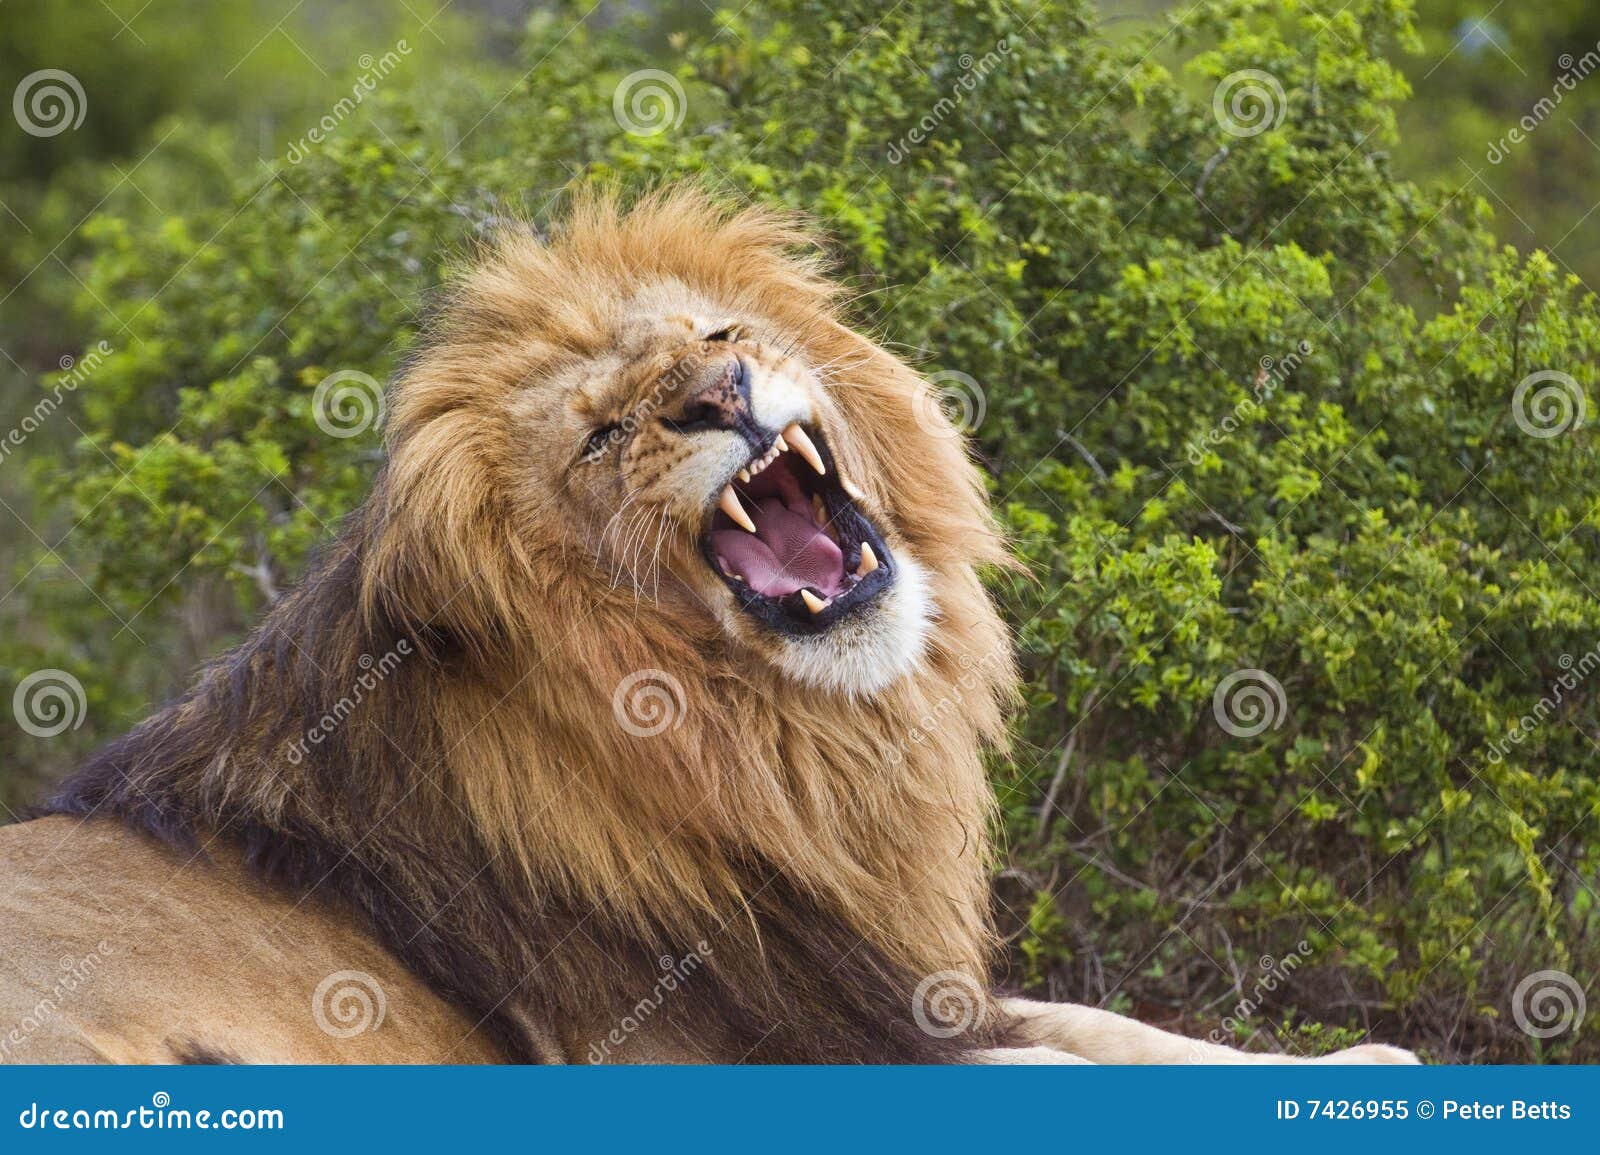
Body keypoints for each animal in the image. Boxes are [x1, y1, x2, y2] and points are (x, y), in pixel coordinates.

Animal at [0, 188, 1414, 1065]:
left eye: (719, 331)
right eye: (603, 434)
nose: (720, 391)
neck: (775, 749)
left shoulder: (891, 991)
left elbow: (1107, 1024)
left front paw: (1366, 1051)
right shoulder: (764, 1040)